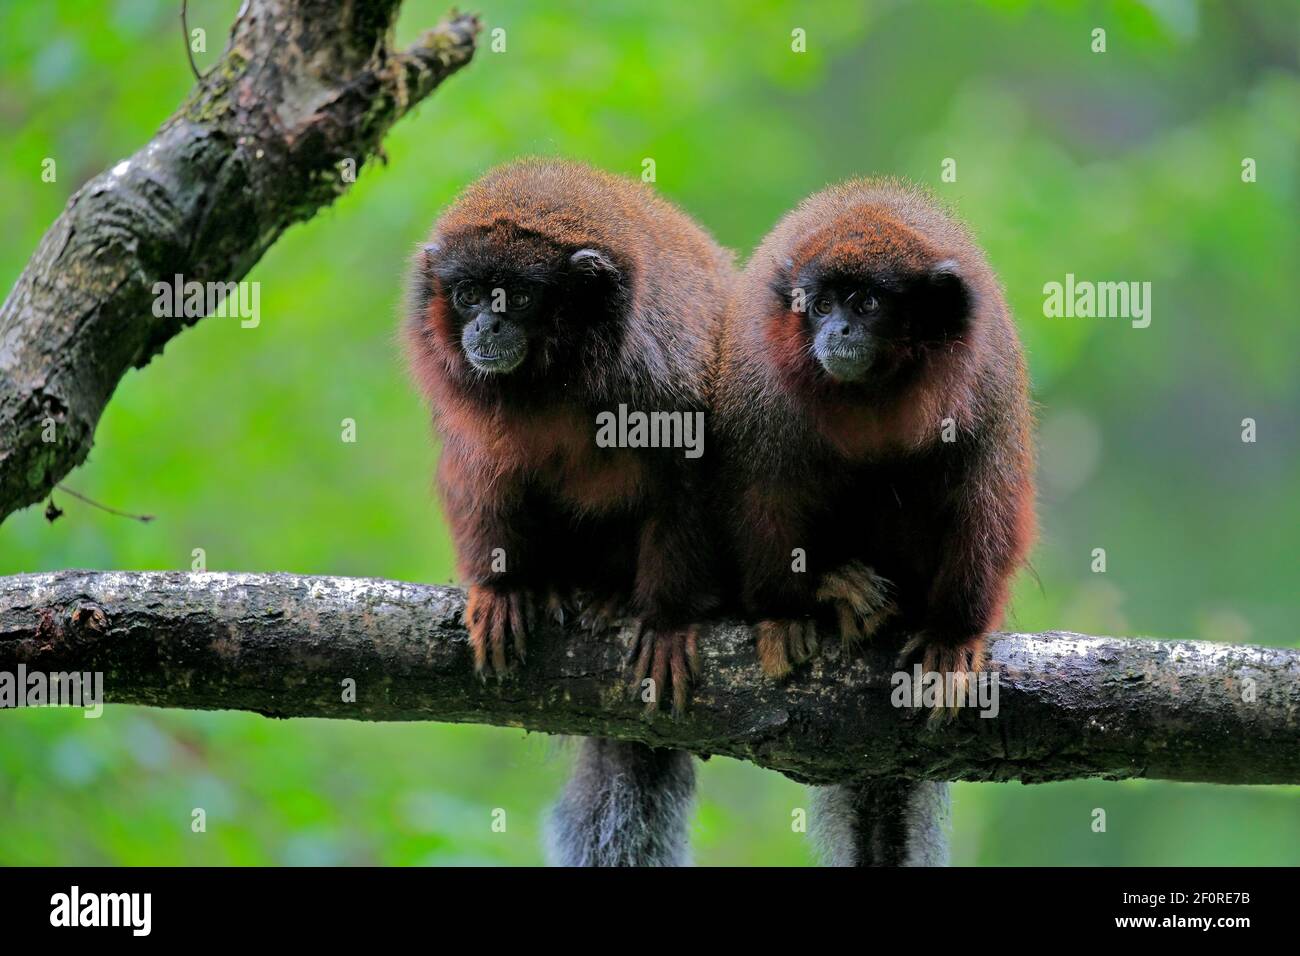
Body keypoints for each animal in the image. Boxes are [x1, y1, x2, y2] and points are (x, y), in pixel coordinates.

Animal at [405, 158, 732, 865]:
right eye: (470, 294)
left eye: (519, 299)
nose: (486, 327)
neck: (556, 375)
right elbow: (480, 472)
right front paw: (502, 588)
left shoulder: (666, 365)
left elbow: (691, 476)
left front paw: (668, 619)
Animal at [714, 177, 1035, 864]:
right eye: (821, 304)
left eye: (865, 303)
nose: (836, 327)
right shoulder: (758, 381)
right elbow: (761, 492)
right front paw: (786, 609)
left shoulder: (986, 376)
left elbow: (988, 500)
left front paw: (953, 636)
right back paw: (836, 591)